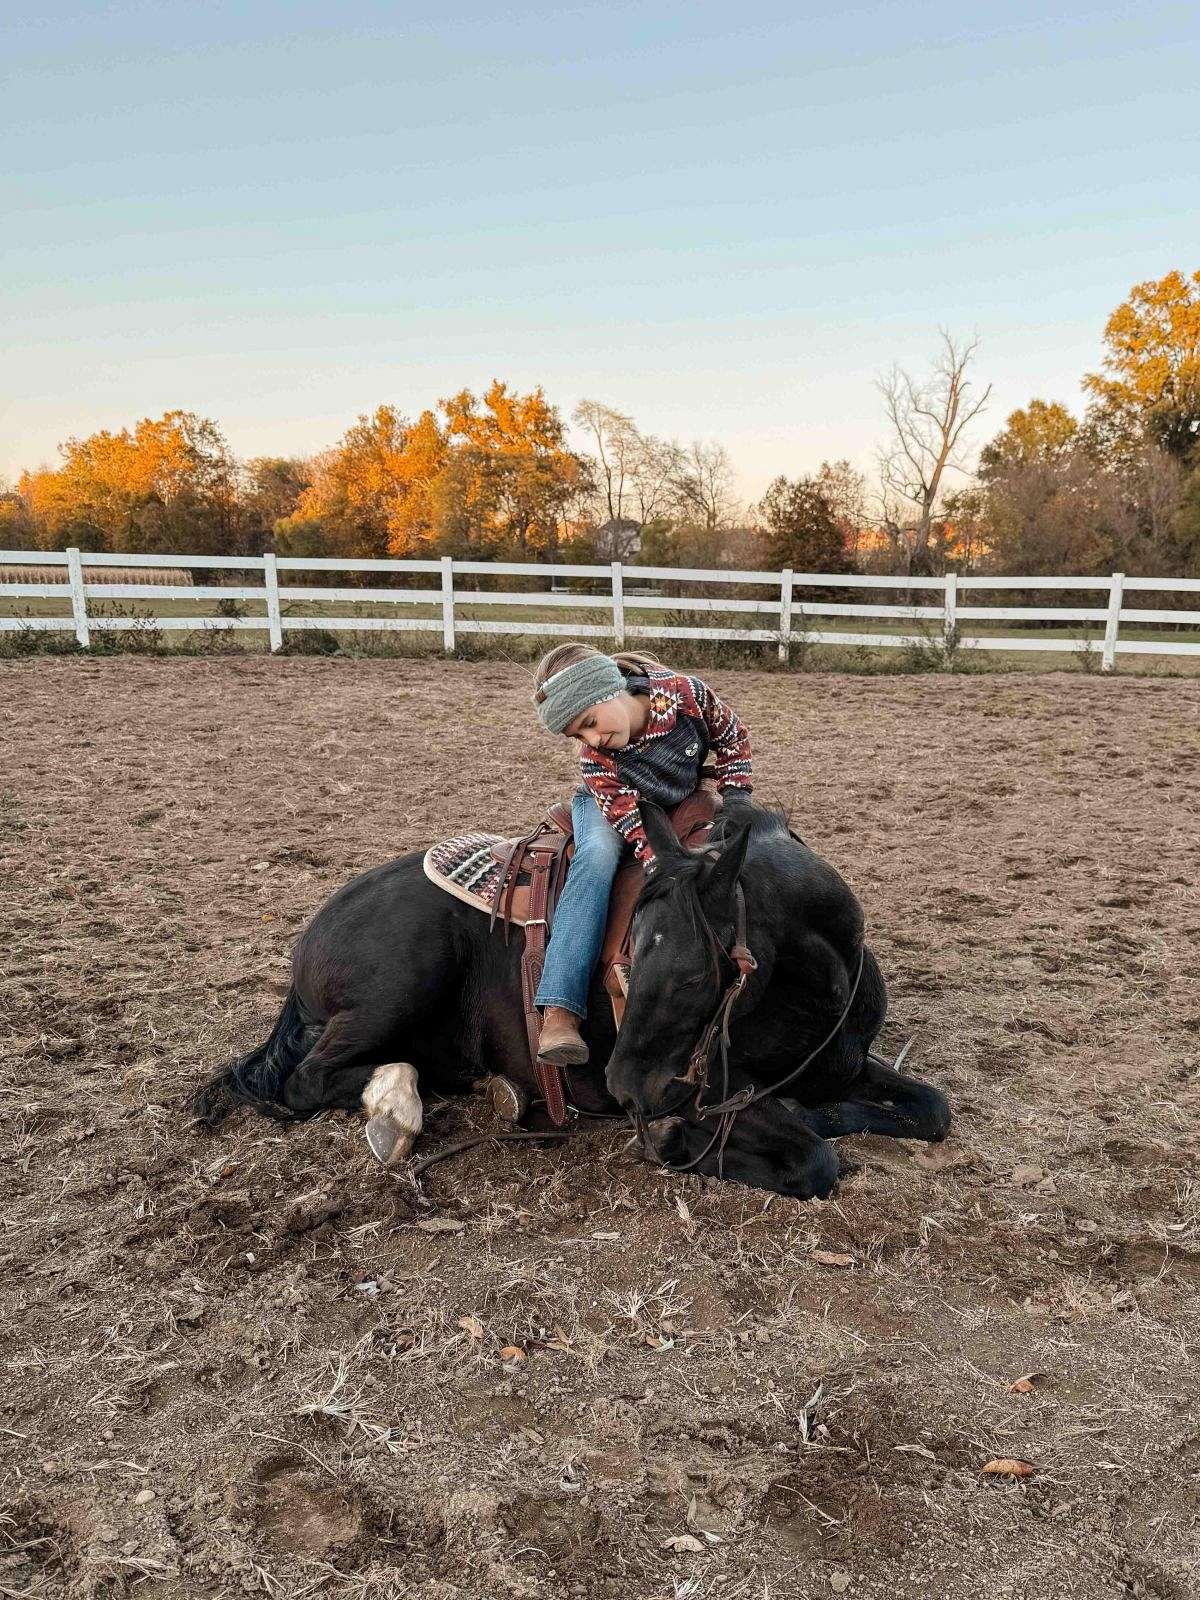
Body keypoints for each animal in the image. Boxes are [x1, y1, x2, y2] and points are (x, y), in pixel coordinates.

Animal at [192, 797, 950, 1197]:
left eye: (693, 976)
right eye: (630, 957)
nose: (627, 1089)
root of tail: (314, 935)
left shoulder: (843, 1063)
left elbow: (933, 1110)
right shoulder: (707, 1095)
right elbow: (814, 1159)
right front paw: (689, 1140)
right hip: (399, 984)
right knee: (308, 1079)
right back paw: (401, 1105)